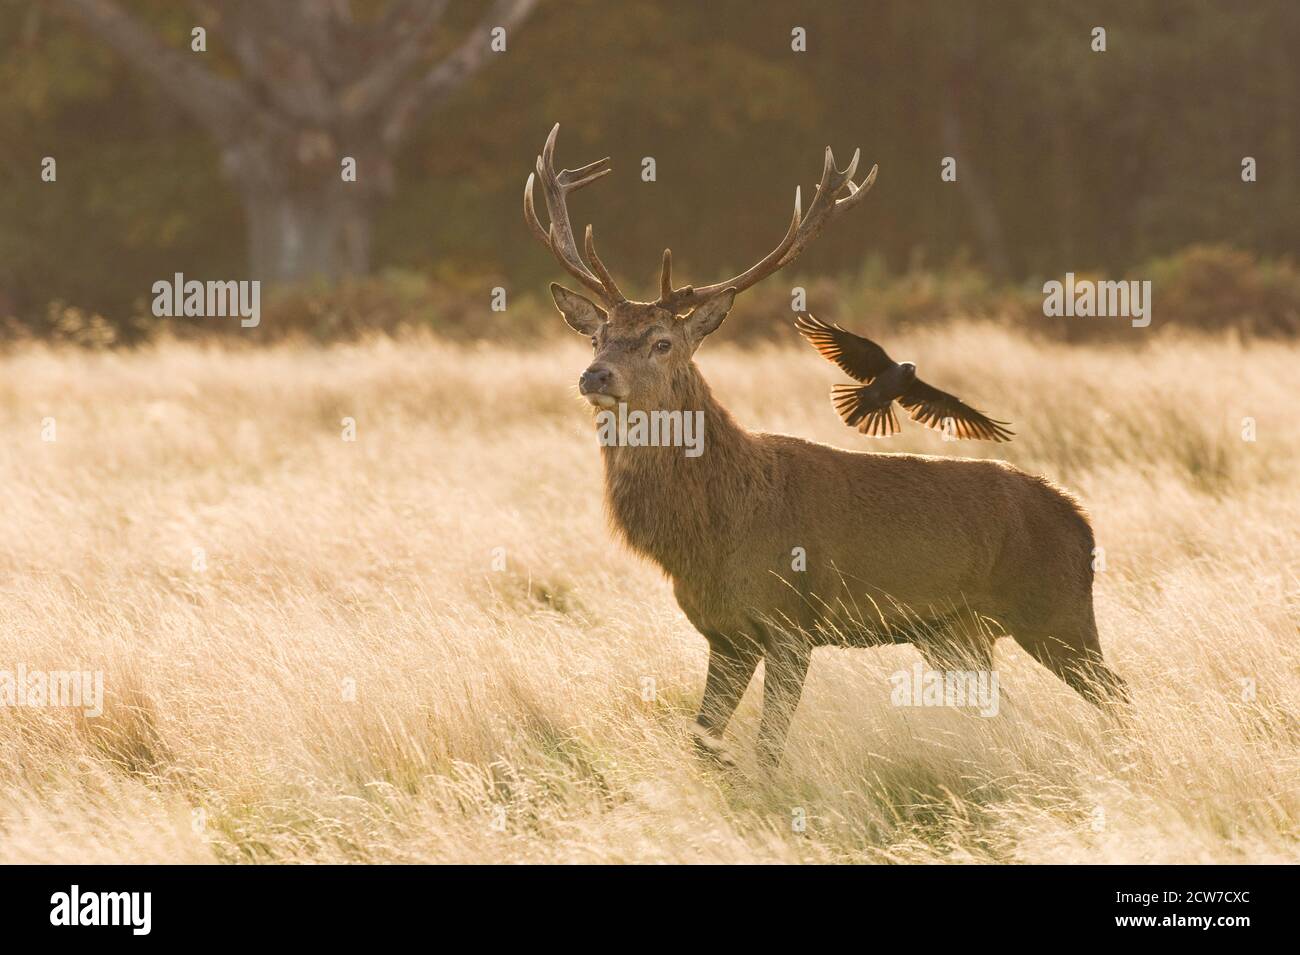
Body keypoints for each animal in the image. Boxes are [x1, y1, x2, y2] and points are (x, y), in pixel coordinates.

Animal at [524, 124, 1128, 769]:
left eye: (662, 342)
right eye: (598, 336)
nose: (596, 375)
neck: (712, 531)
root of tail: (1083, 521)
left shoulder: (791, 622)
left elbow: (767, 751)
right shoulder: (723, 633)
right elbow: (703, 742)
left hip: (1058, 612)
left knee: (1119, 694)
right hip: (954, 633)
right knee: (1008, 715)